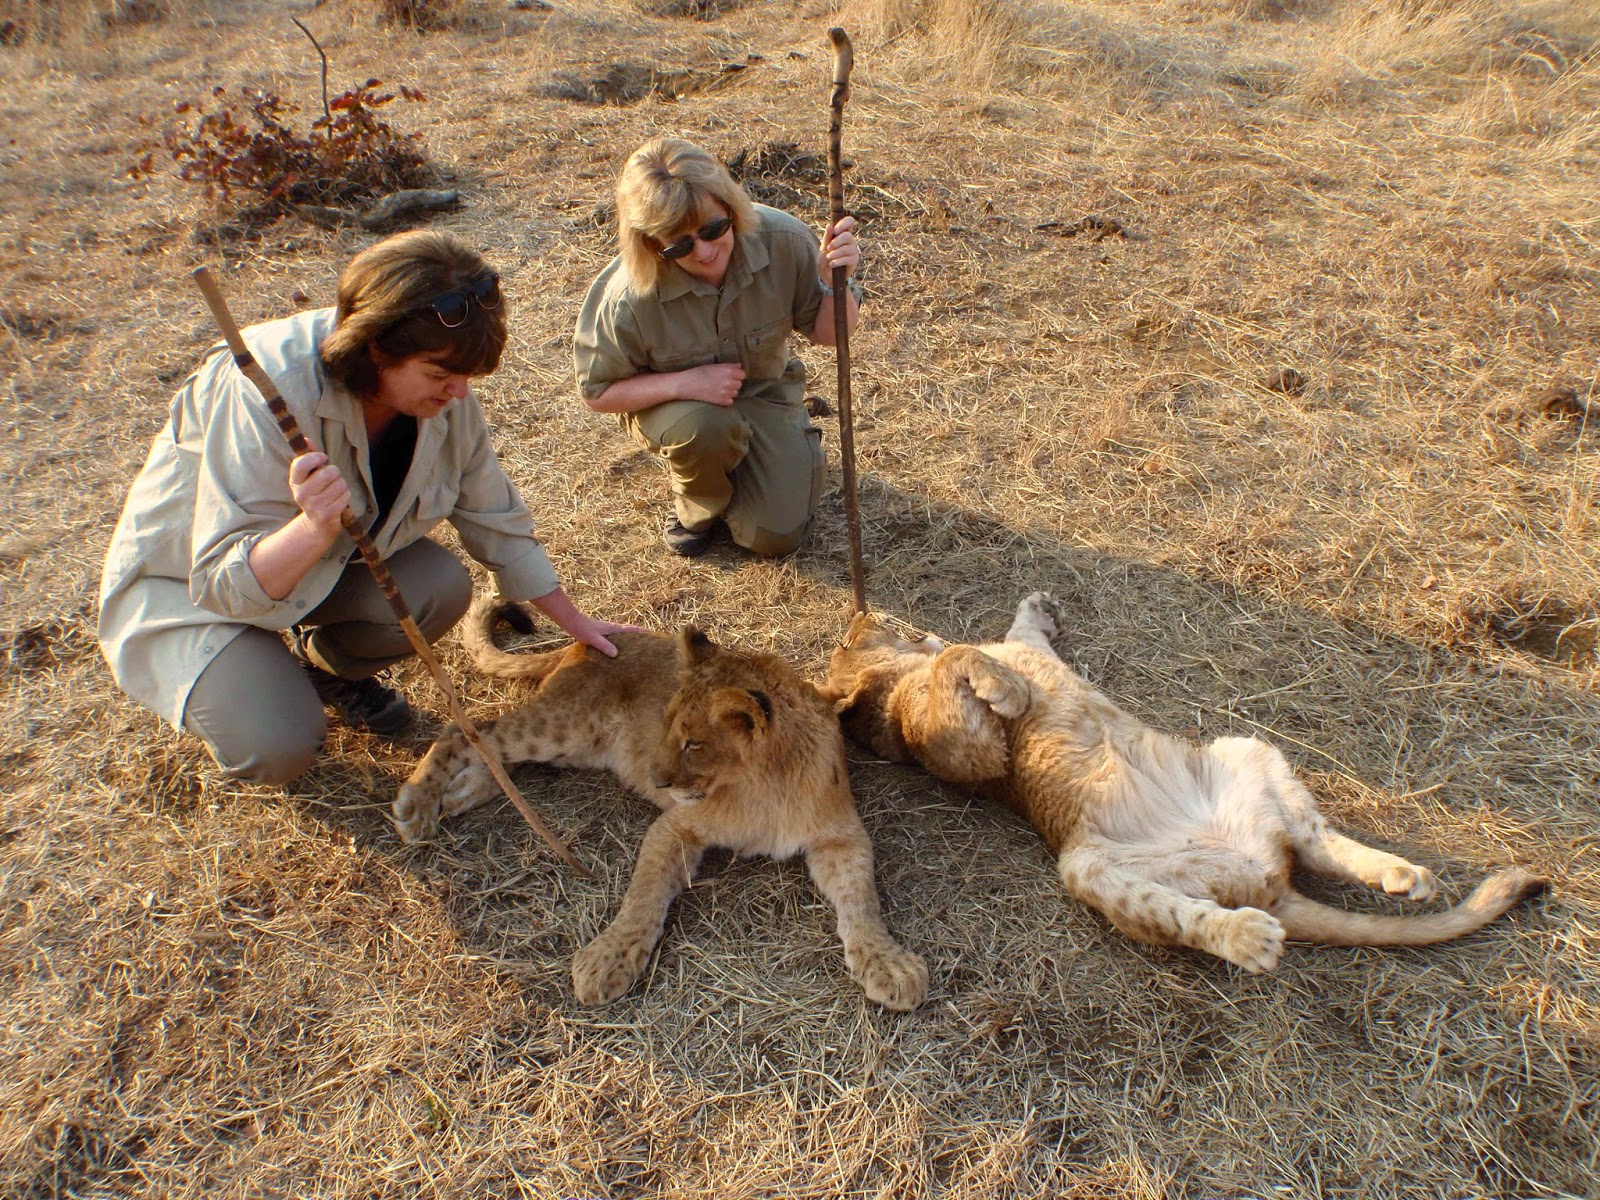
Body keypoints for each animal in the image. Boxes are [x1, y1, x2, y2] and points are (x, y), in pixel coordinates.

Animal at [392, 597, 928, 1010]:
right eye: (667, 723)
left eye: (694, 743)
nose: (656, 778)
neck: (764, 784)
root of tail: (586, 641)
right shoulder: (675, 826)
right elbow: (642, 896)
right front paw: (607, 959)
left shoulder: (841, 838)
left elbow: (862, 900)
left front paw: (889, 964)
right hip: (563, 727)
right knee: (470, 731)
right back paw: (417, 804)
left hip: (574, 748)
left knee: (496, 753)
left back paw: (460, 793)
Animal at [820, 591, 1546, 973]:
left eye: (853, 634)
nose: (863, 611)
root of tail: (1268, 886)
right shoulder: (971, 753)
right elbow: (965, 661)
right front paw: (1008, 687)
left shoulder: (1008, 664)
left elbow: (1005, 636)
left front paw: (1037, 610)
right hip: (1086, 868)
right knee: (1188, 914)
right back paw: (1251, 938)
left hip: (1246, 750)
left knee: (1316, 842)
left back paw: (1406, 876)